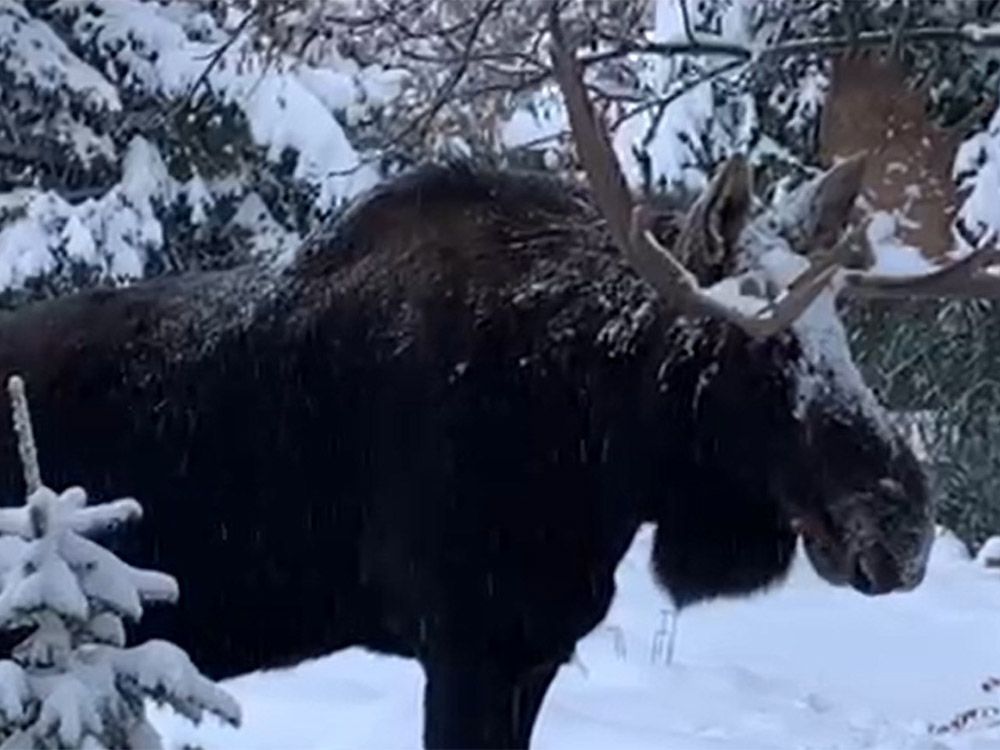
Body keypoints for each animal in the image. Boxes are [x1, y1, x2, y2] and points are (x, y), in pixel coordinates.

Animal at [1, 7, 999, 749]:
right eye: (757, 345)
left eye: (843, 331)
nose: (902, 529)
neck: (601, 449)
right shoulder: (466, 642)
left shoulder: (537, 646)